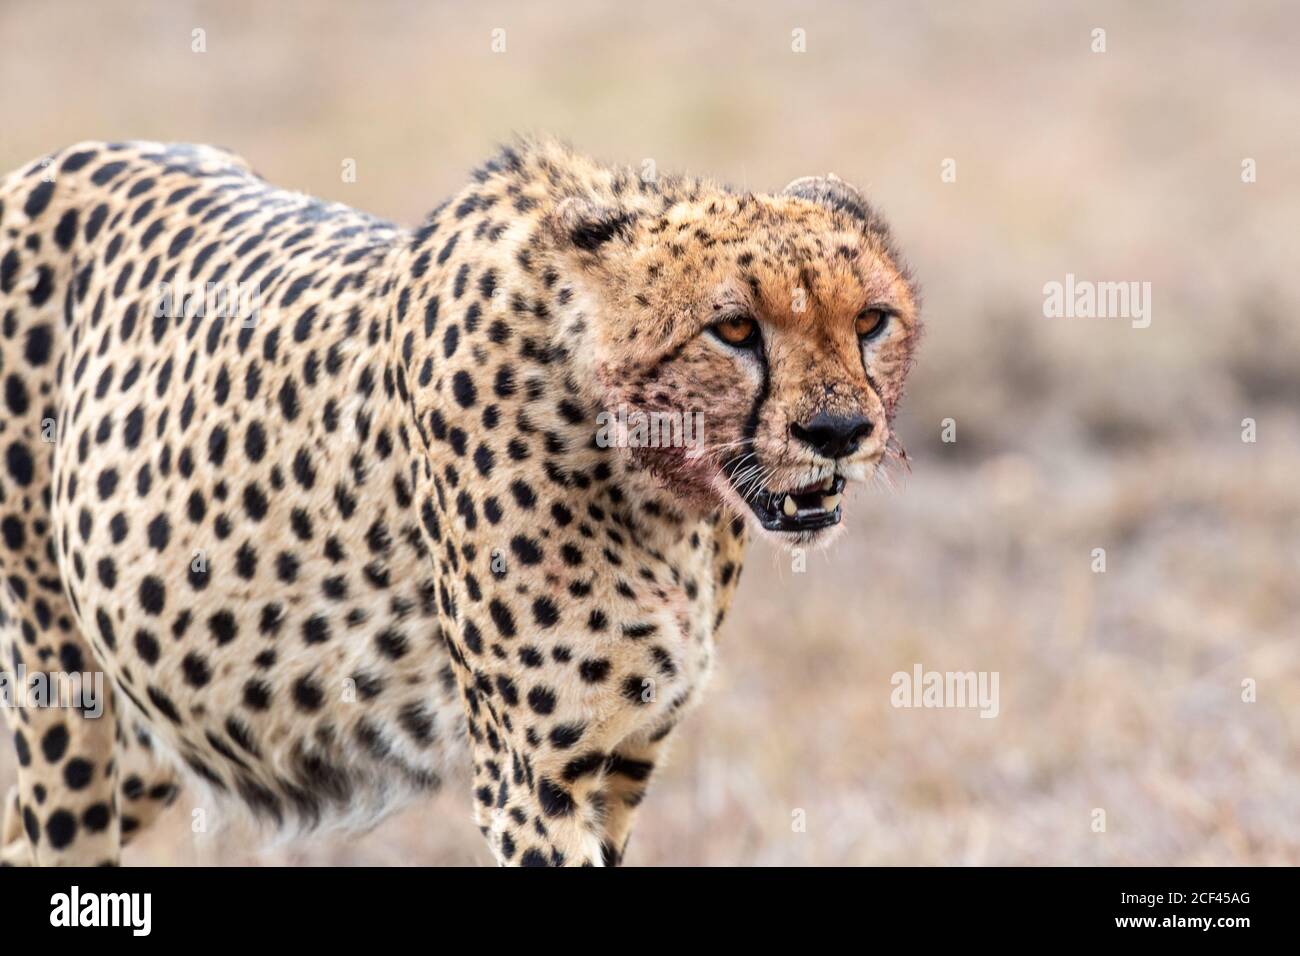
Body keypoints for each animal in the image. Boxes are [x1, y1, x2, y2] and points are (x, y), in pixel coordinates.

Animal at [0, 136, 919, 866]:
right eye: (733, 329)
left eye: (871, 321)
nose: (840, 430)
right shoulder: (534, 779)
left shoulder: (623, 762)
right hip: (66, 701)